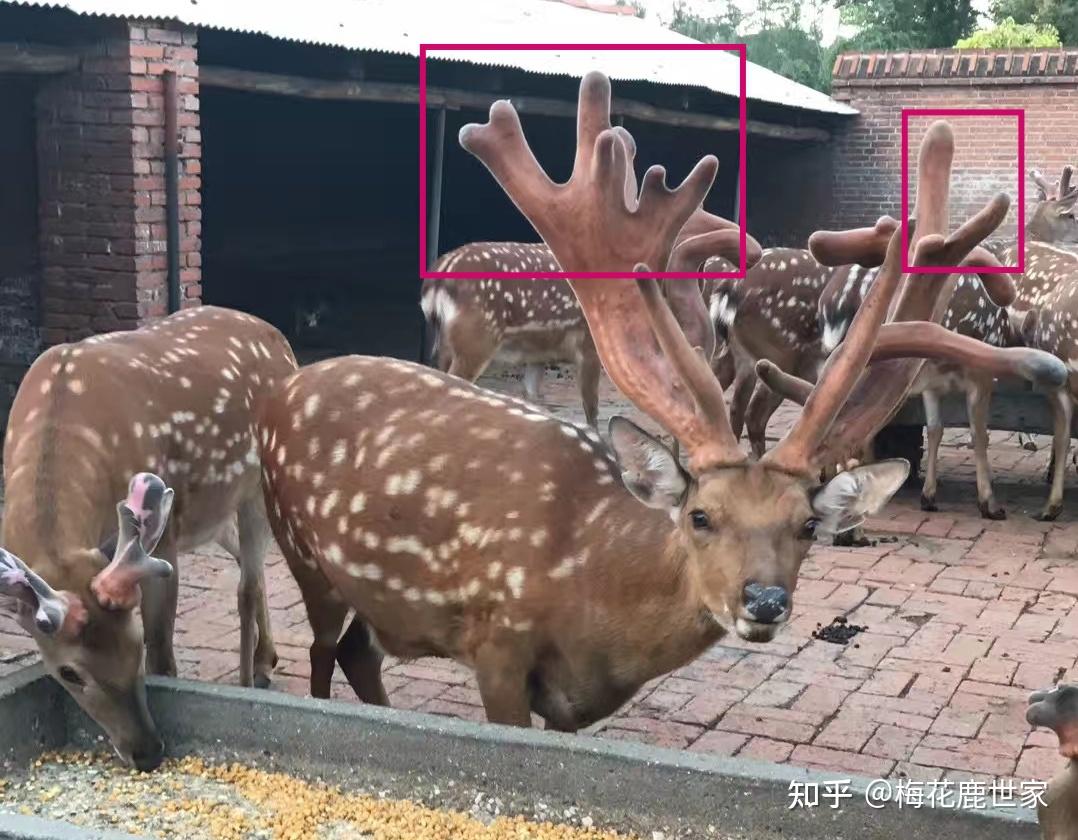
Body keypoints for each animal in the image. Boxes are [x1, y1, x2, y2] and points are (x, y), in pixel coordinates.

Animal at [0, 306, 297, 770]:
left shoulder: (165, 540)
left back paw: (252, 678)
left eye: (134, 644)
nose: (147, 751)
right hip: (211, 515)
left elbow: (163, 655)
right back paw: (267, 659)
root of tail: (279, 338)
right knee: (251, 568)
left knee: (247, 586)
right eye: (67, 672)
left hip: (256, 487)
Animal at [255, 73, 1064, 727]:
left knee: (359, 654)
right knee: (323, 655)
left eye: (807, 525)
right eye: (700, 515)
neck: (591, 600)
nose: (763, 602)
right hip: (303, 548)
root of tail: (291, 381)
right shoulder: (497, 642)